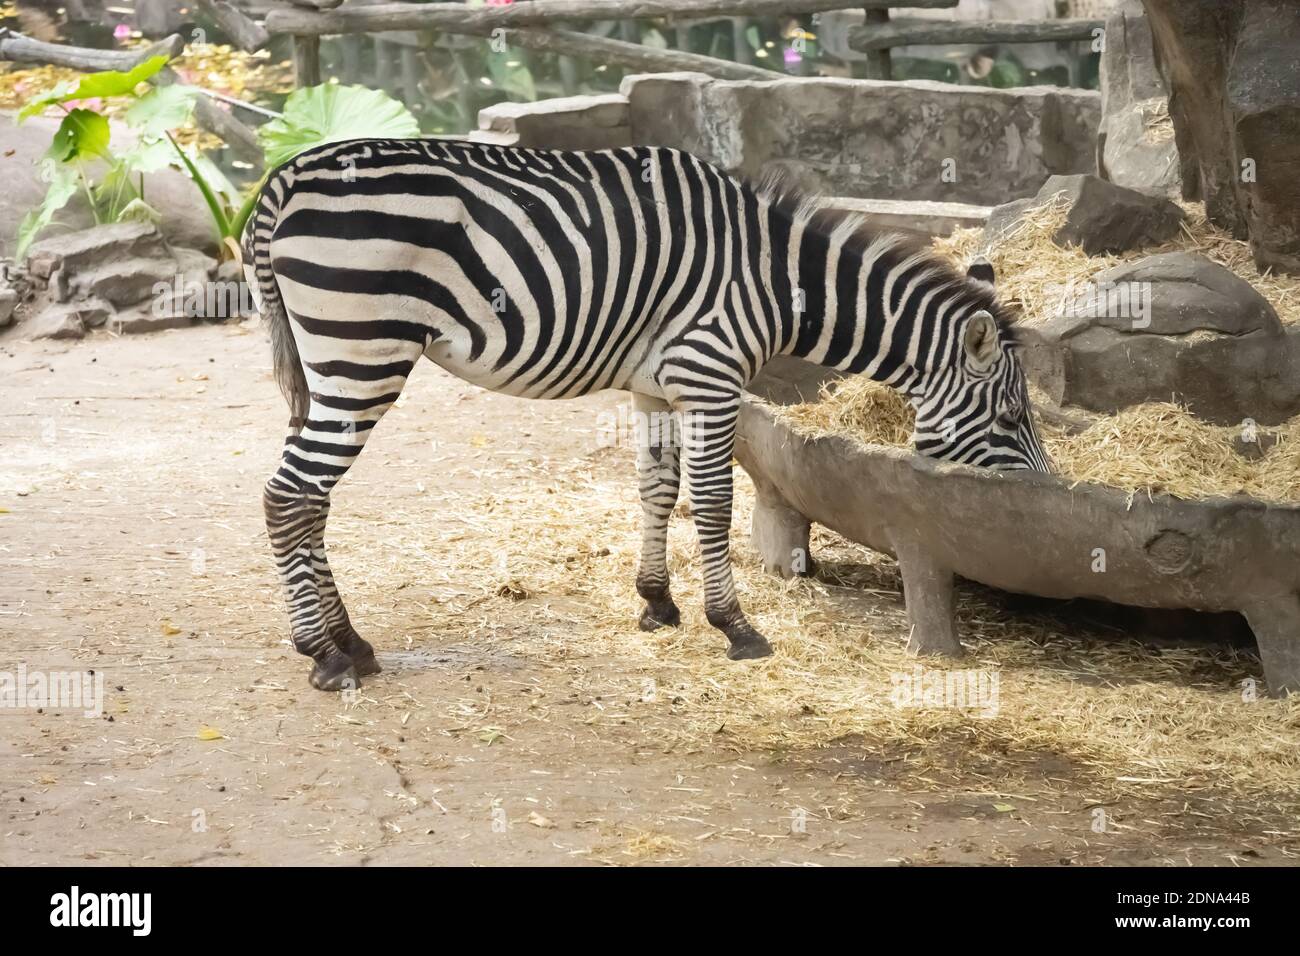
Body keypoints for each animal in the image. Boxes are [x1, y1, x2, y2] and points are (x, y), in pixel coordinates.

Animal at [243, 138, 1050, 692]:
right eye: (1011, 416)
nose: (1041, 497)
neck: (773, 278)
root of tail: (287, 174)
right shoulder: (711, 375)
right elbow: (715, 503)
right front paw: (736, 626)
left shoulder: (657, 386)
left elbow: (657, 490)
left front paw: (658, 603)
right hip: (362, 353)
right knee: (290, 495)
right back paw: (324, 655)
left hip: (328, 365)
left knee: (310, 498)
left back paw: (351, 642)